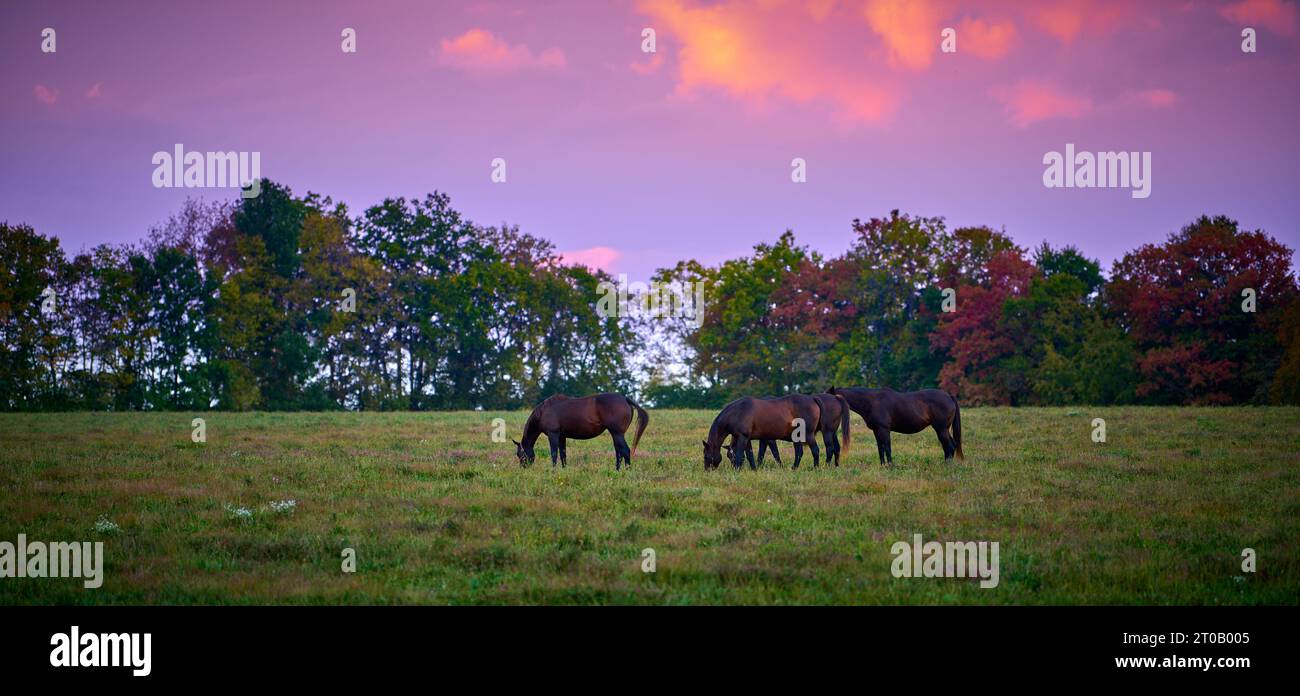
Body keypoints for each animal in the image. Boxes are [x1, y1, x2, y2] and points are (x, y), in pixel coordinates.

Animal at [513, 393, 649, 470]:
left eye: (520, 454)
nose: (523, 468)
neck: (544, 411)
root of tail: (625, 399)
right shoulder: (562, 437)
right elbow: (563, 454)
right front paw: (563, 470)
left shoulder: (553, 435)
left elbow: (554, 454)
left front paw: (553, 470)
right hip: (616, 435)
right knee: (619, 452)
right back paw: (617, 470)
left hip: (617, 434)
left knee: (625, 451)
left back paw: (626, 471)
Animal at [827, 386, 962, 466]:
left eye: (827, 395)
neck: (872, 402)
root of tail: (949, 396)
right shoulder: (876, 431)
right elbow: (880, 449)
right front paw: (883, 465)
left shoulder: (884, 430)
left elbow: (887, 447)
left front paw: (890, 465)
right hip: (943, 430)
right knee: (950, 445)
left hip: (941, 429)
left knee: (949, 445)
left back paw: (947, 465)